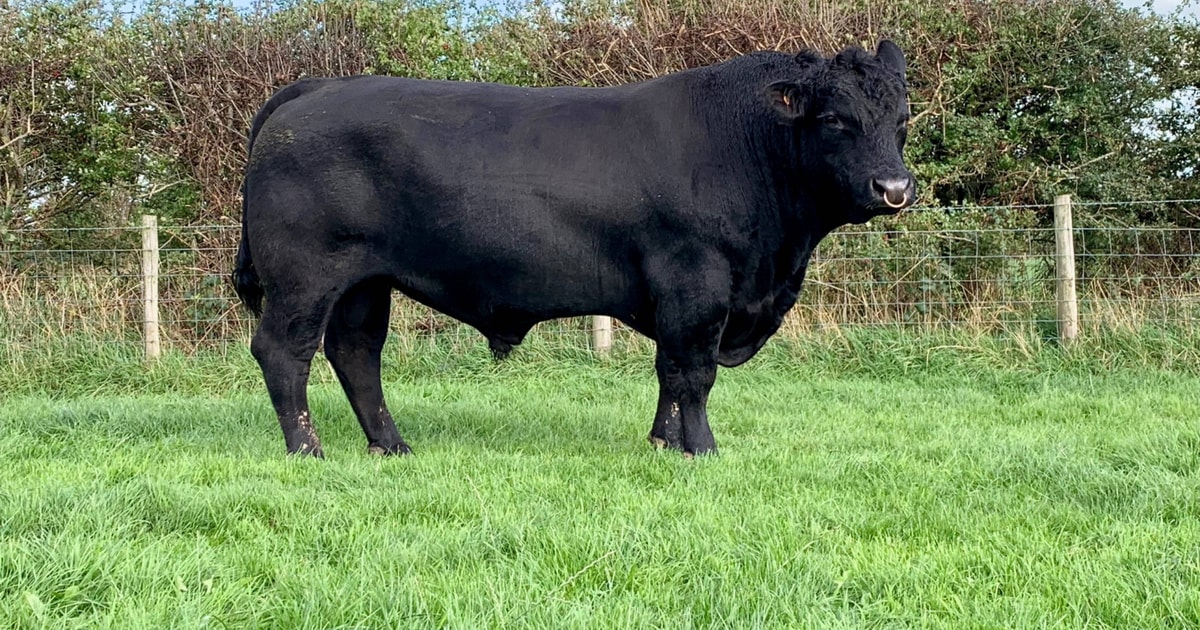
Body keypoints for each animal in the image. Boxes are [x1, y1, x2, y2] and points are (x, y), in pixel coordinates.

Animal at [232, 40, 916, 459]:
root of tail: (318, 87)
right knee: (285, 352)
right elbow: (693, 372)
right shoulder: (696, 282)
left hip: (365, 282)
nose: (894, 188)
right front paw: (702, 448)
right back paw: (308, 450)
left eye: (903, 119)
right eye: (834, 119)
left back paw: (391, 446)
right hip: (306, 274)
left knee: (356, 354)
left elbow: (669, 371)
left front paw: (662, 443)